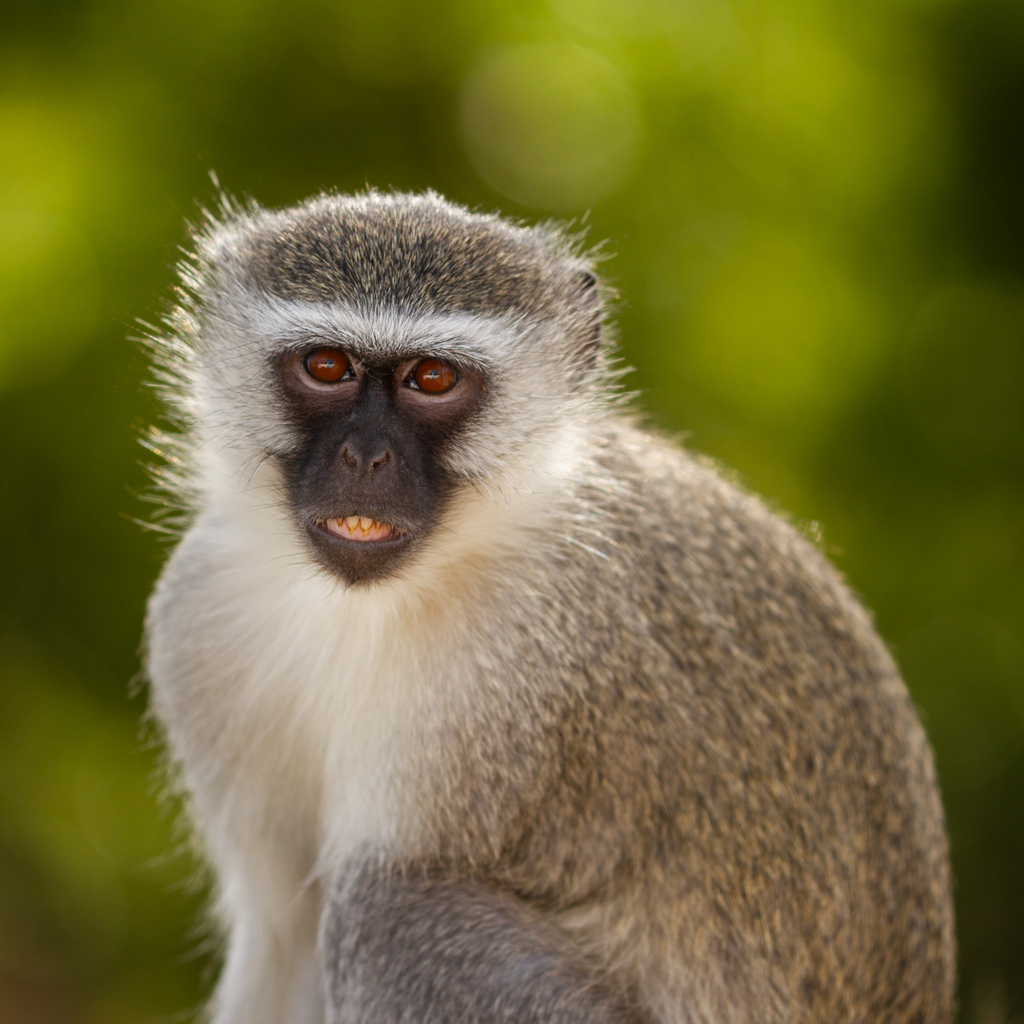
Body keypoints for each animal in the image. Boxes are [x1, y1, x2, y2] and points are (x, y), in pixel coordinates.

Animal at [143, 189, 955, 1024]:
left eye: (433, 377)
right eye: (326, 367)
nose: (365, 457)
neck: (373, 605)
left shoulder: (523, 673)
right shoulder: (195, 615)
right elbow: (283, 936)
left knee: (385, 910)